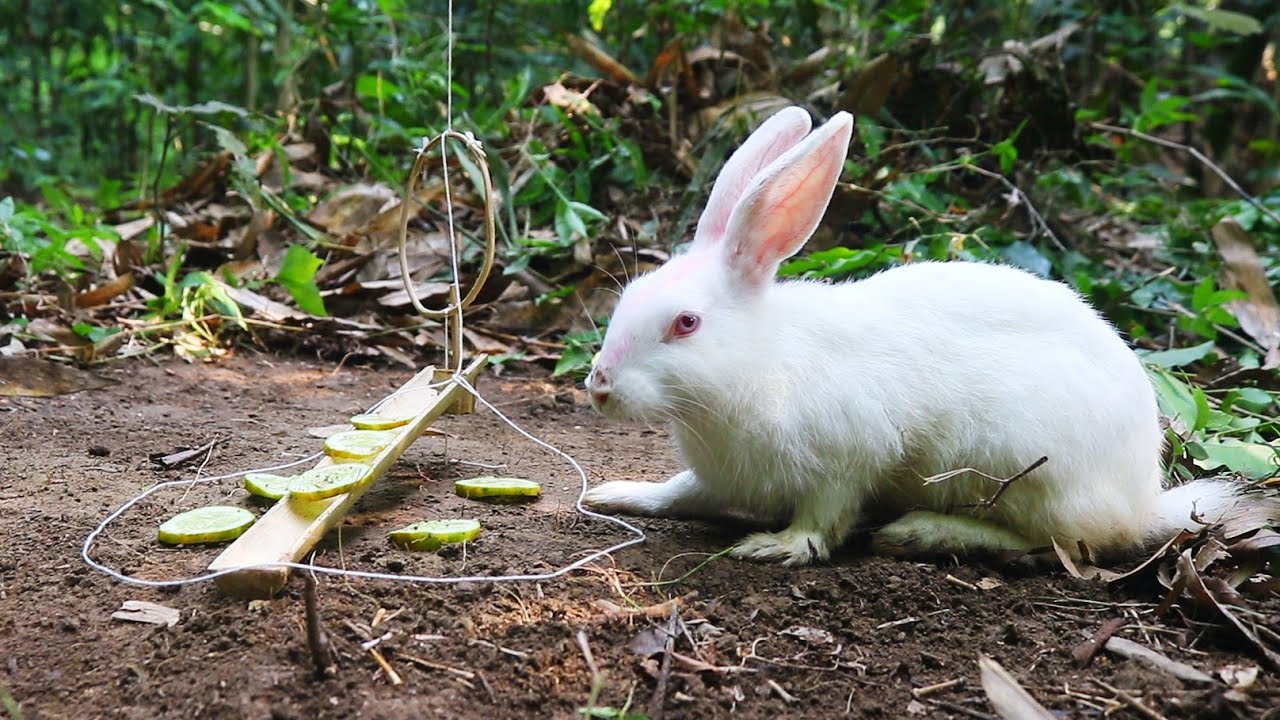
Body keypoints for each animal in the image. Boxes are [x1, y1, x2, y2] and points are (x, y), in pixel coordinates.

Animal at [580, 105, 1246, 566]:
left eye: (686, 324)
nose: (600, 386)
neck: (759, 362)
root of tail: (1144, 499)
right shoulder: (718, 476)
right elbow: (679, 492)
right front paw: (618, 495)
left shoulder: (848, 461)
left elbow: (824, 519)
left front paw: (776, 546)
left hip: (1027, 472)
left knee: (1060, 545)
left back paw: (921, 531)